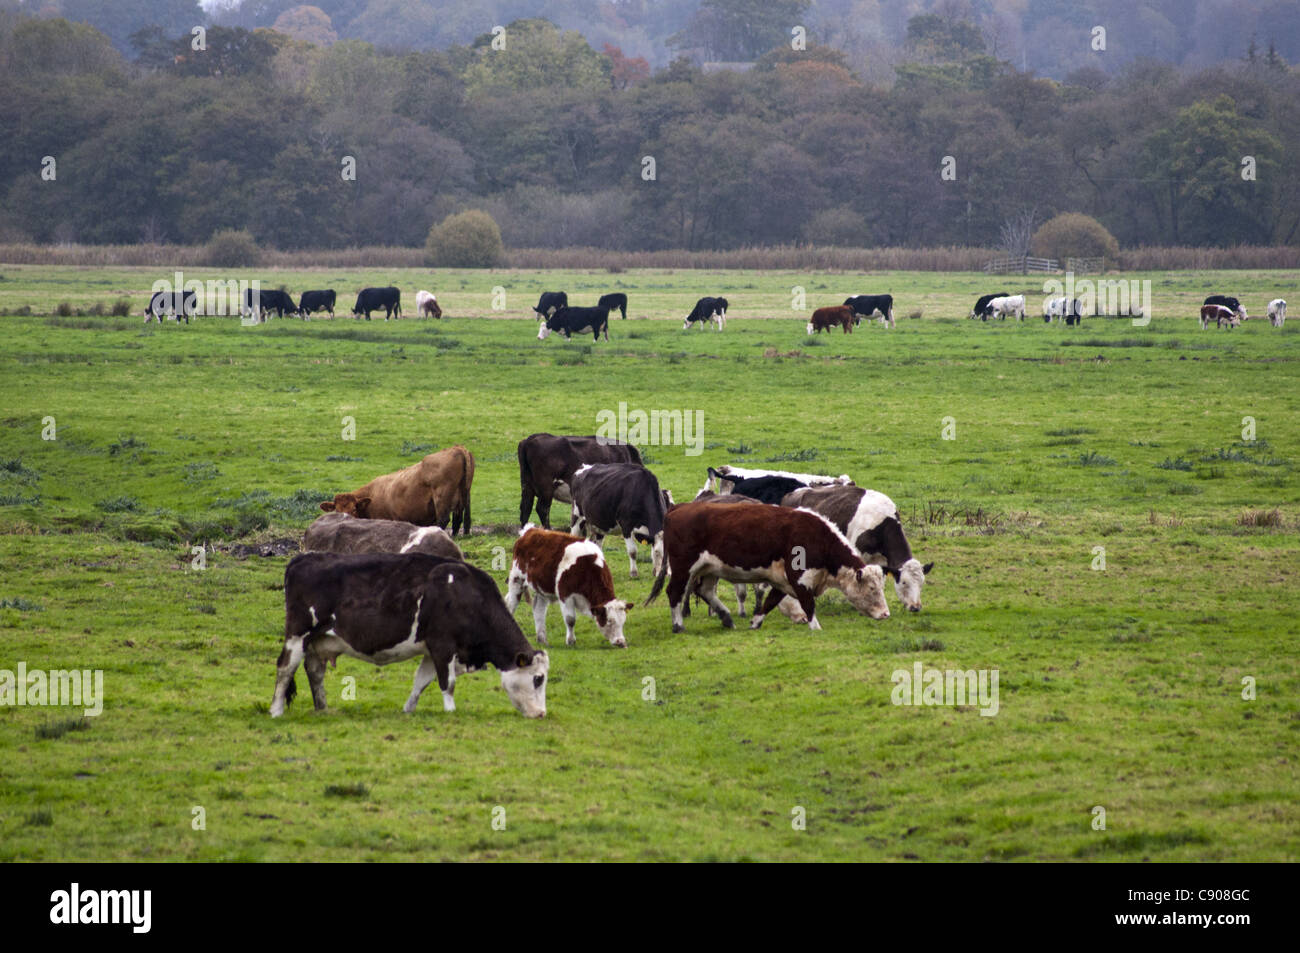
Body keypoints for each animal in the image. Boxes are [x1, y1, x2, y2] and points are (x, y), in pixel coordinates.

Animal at [270, 552, 549, 718]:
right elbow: (448, 683)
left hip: (317, 641)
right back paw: (276, 710)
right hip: (297, 635)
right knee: (285, 667)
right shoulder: (443, 645)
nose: (542, 713)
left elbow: (421, 682)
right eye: (537, 679)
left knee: (315, 672)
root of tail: (304, 557)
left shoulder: (431, 650)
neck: (467, 594)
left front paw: (408, 710)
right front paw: (451, 711)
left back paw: (323, 709)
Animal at [320, 445, 475, 536]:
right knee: (461, 519)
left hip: (442, 496)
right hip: (464, 495)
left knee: (444, 519)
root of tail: (457, 448)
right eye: (336, 511)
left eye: (353, 510)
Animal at [646, 501, 889, 632]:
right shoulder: (799, 578)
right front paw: (815, 627)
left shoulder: (782, 581)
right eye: (871, 589)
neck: (817, 537)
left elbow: (770, 601)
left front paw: (755, 622)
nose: (885, 614)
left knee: (704, 590)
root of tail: (679, 508)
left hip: (708, 569)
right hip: (682, 567)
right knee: (674, 592)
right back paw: (678, 625)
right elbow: (808, 604)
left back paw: (726, 618)